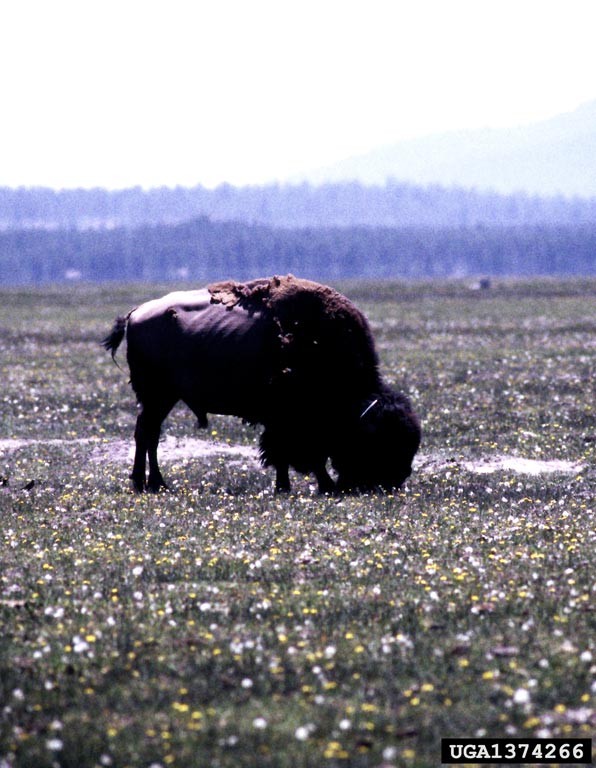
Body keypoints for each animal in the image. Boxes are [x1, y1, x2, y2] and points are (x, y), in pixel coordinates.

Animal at [102, 275, 421, 494]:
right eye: (379, 442)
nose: (393, 482)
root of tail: (135, 313)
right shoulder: (286, 421)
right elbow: (292, 453)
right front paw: (305, 486)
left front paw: (292, 485)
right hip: (156, 394)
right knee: (147, 433)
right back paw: (151, 483)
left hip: (163, 397)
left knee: (149, 433)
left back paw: (151, 483)